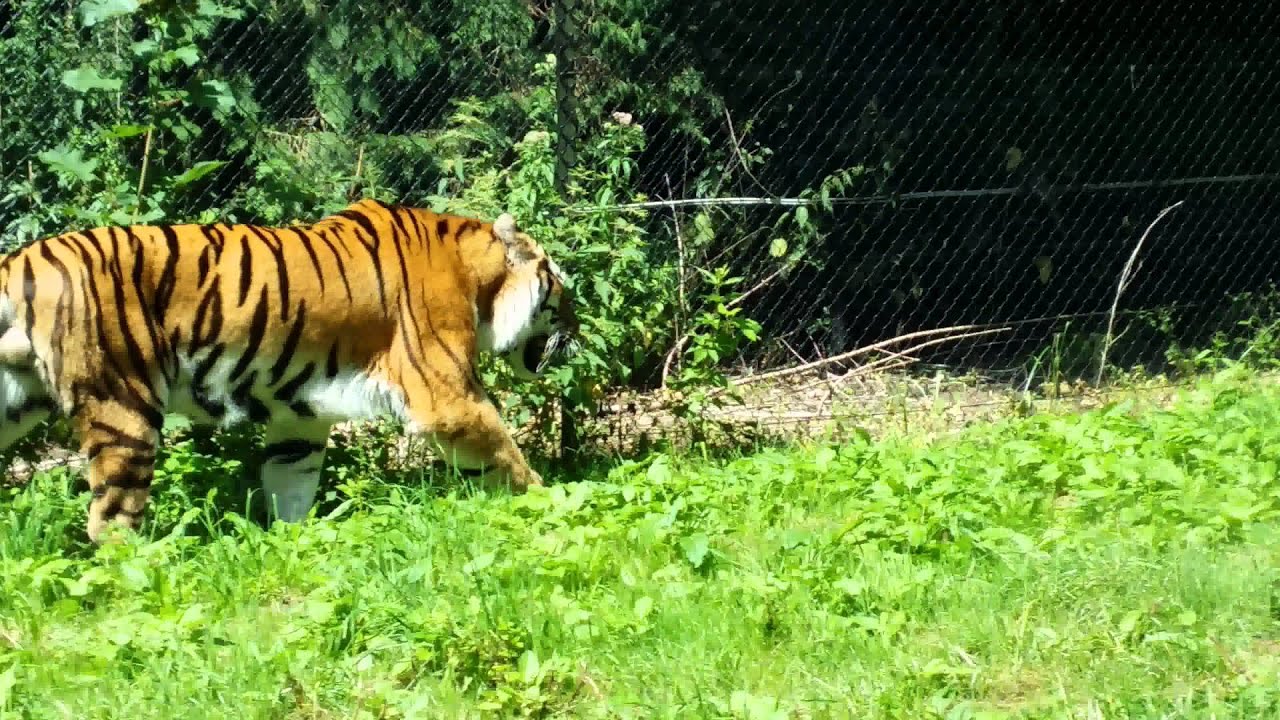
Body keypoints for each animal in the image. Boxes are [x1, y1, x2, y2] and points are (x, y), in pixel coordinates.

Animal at [0, 198, 579, 543]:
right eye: (563, 292)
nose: (579, 333)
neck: (477, 281)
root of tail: (19, 262)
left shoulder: (299, 412)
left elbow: (291, 484)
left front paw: (295, 546)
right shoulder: (446, 396)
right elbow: (506, 452)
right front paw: (551, 504)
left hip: (16, 398)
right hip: (124, 407)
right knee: (111, 520)